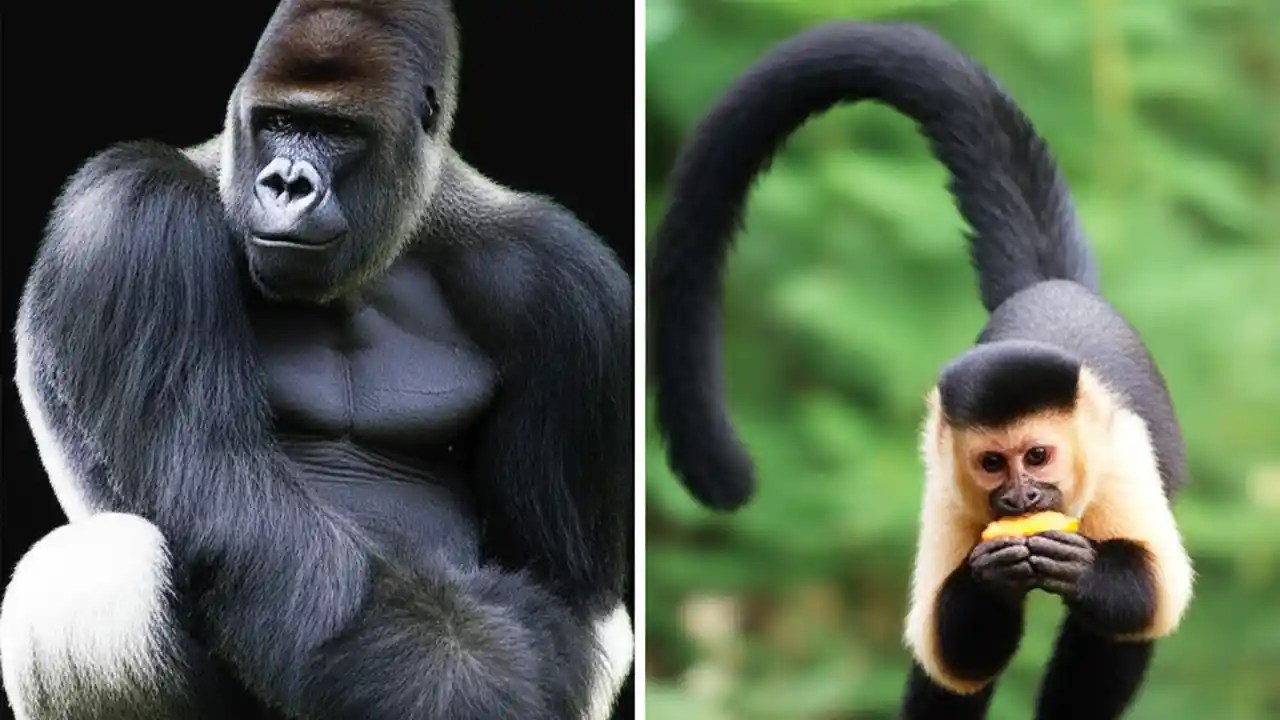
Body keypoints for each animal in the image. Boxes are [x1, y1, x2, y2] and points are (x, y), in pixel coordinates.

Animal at [1, 2, 633, 719]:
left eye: (335, 130)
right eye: (280, 121)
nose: (286, 183)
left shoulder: (567, 287)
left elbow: (557, 585)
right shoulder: (130, 213)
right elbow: (228, 495)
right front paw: (463, 688)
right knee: (95, 570)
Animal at [647, 21, 1193, 720]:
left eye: (1038, 456)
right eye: (992, 463)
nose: (1022, 498)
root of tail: (1050, 287)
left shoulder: (1119, 452)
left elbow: (1155, 590)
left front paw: (1081, 569)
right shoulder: (947, 479)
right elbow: (952, 648)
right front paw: (994, 579)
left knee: (1112, 634)